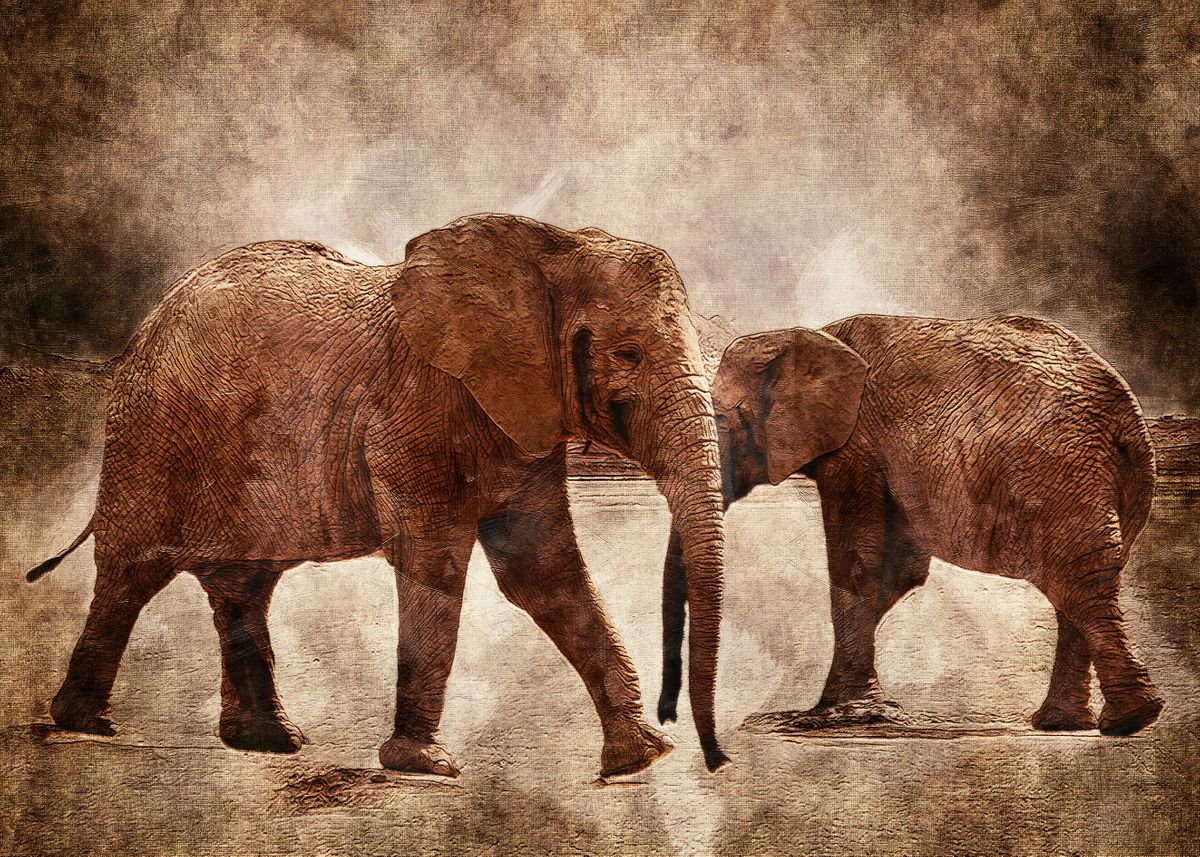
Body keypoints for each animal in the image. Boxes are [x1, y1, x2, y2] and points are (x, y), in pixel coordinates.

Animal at [26, 213, 732, 778]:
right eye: (629, 353)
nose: (715, 759)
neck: (549, 250)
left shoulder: (520, 422)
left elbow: (545, 573)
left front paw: (639, 759)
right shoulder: (410, 410)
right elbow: (438, 566)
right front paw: (427, 767)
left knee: (244, 586)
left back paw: (270, 743)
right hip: (150, 436)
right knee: (132, 573)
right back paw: (87, 724)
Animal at [657, 314, 1164, 737]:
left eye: (722, 422)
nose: (669, 720)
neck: (811, 336)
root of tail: (1125, 416)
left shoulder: (857, 447)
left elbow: (858, 566)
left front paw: (839, 715)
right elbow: (896, 574)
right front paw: (846, 708)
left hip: (1058, 473)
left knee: (1077, 585)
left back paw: (1127, 720)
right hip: (1112, 481)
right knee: (1082, 587)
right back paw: (1070, 724)